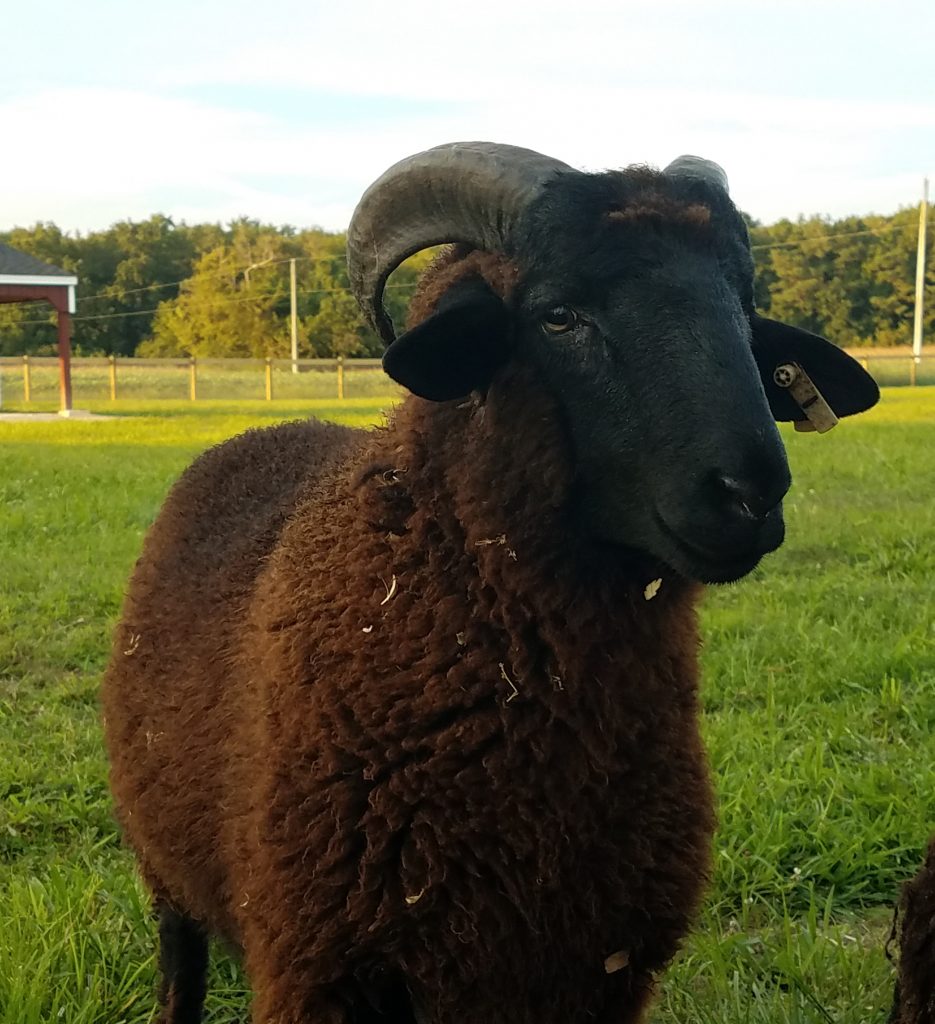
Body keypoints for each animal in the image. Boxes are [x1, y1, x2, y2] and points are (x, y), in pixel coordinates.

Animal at [101, 141, 879, 1024]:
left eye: (743, 306)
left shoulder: (600, 970)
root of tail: (263, 429)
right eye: (558, 316)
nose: (749, 494)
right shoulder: (321, 971)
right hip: (163, 863)